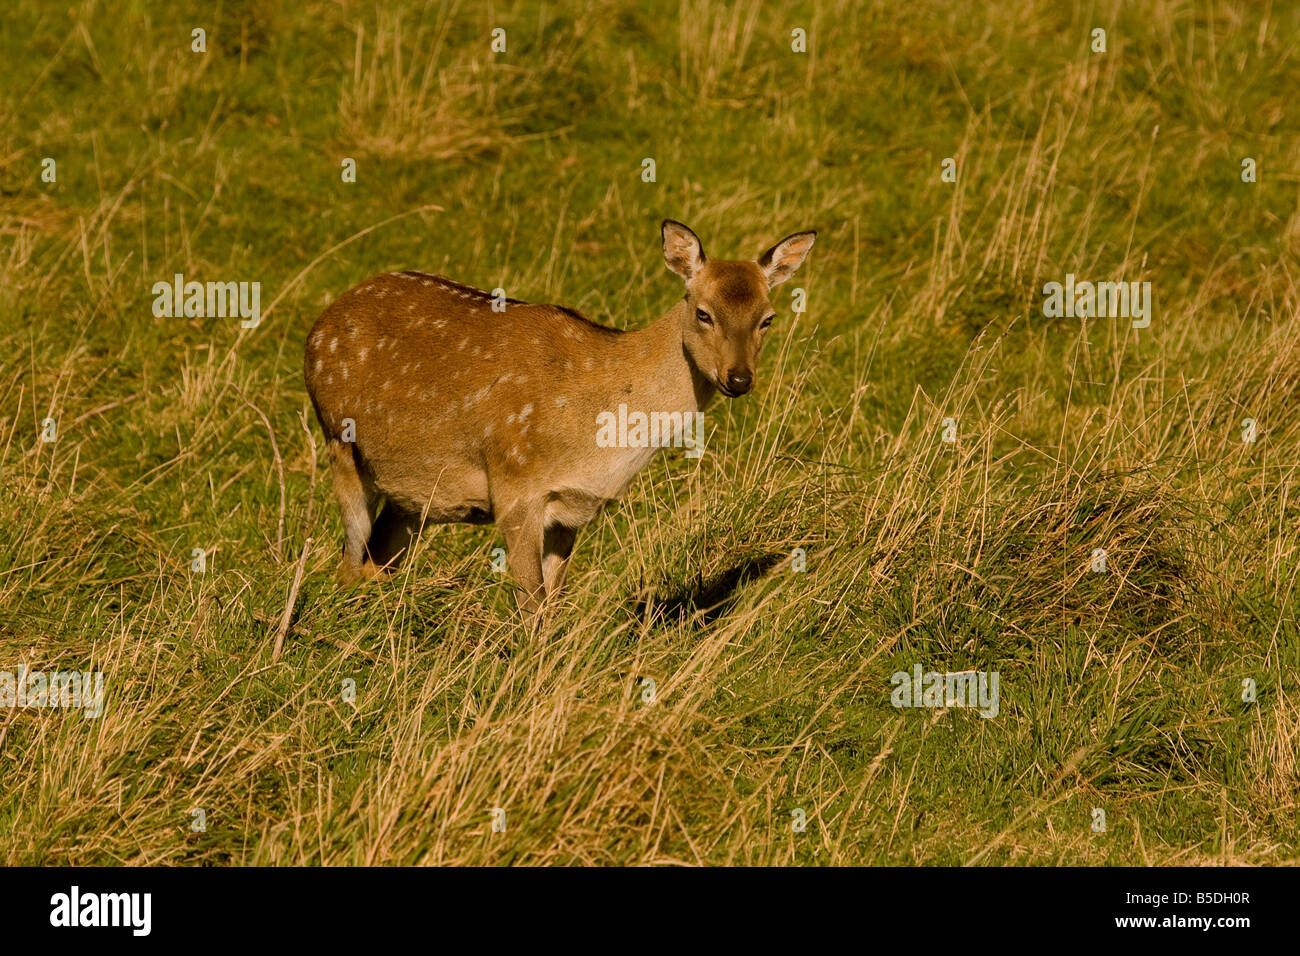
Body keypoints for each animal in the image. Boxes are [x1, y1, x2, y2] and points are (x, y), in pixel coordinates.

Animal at [304, 220, 815, 611]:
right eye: (704, 312)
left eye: (767, 319)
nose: (740, 378)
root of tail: (321, 323)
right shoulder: (514, 488)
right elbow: (530, 608)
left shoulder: (573, 510)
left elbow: (552, 606)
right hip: (338, 441)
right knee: (350, 560)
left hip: (413, 495)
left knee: (377, 558)